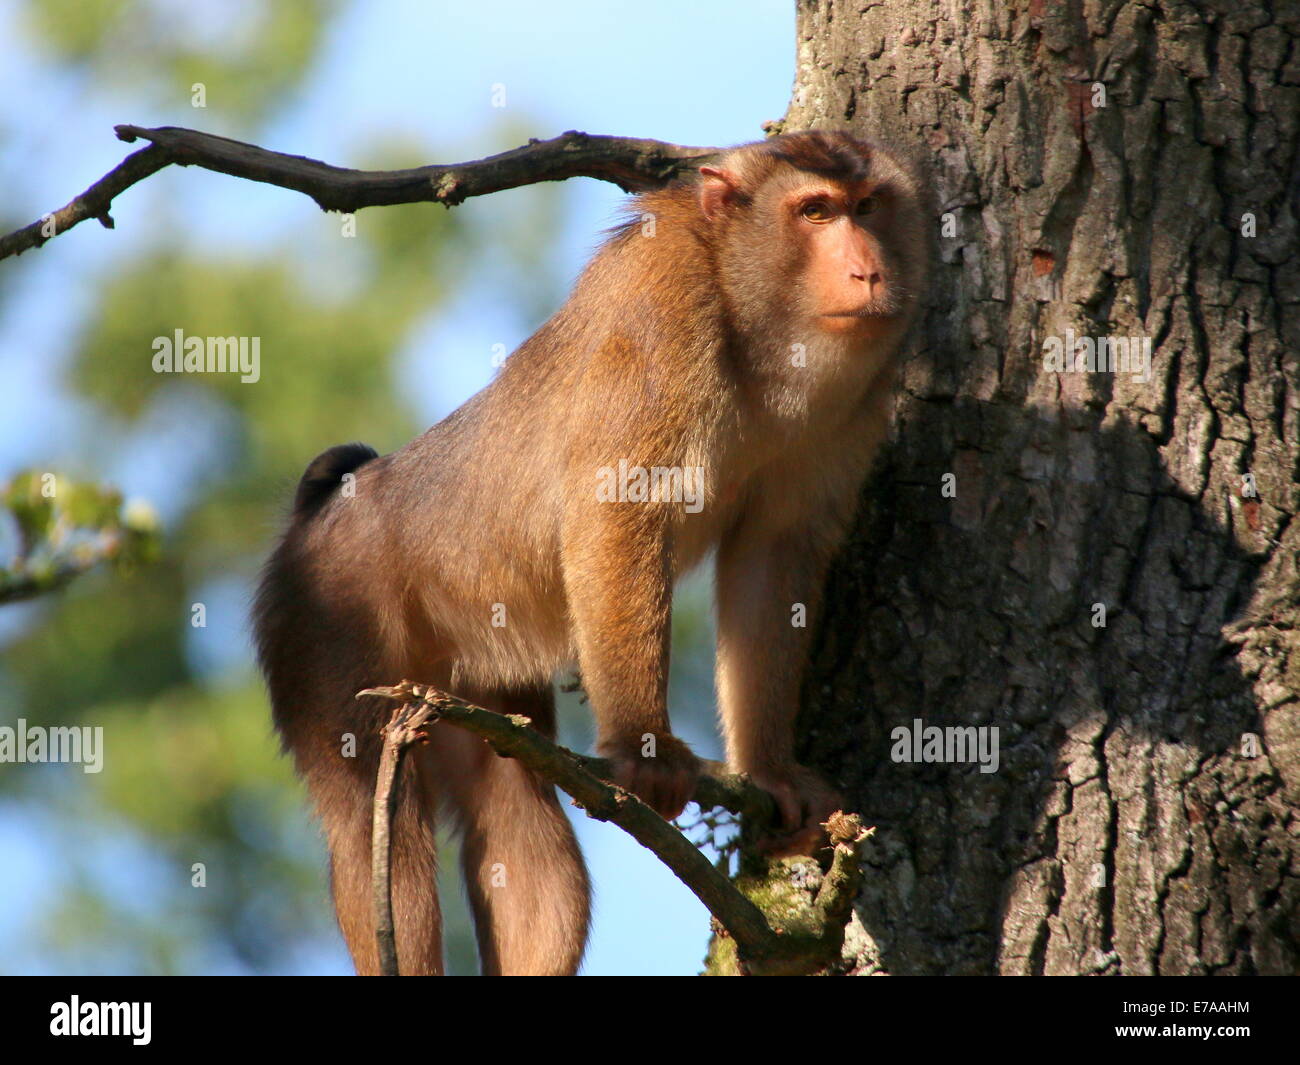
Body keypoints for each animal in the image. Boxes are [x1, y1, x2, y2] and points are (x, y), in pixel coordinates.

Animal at [254, 130, 928, 976]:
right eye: (815, 211)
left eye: (868, 206)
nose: (870, 269)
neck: (755, 314)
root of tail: (319, 515)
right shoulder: (661, 297)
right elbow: (617, 508)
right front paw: (646, 745)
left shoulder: (861, 393)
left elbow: (773, 555)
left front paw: (770, 771)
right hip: (324, 620)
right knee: (375, 818)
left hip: (471, 671)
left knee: (514, 798)